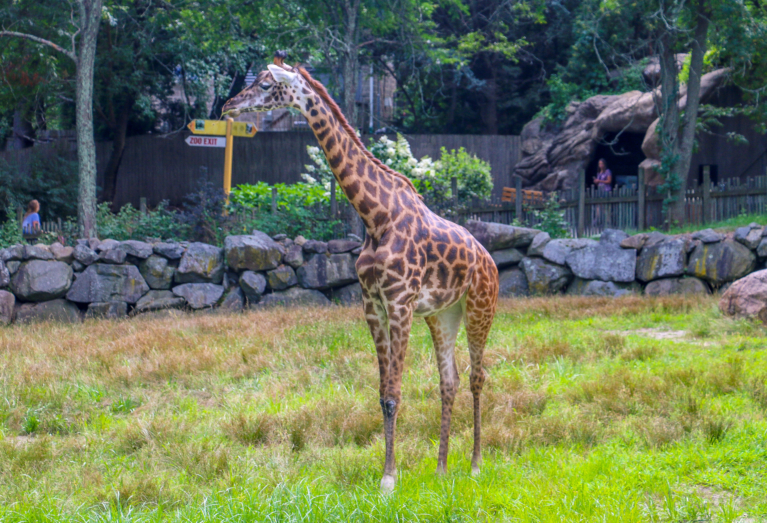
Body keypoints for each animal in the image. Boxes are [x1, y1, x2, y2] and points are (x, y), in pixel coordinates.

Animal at [222, 52, 499, 491]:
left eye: (266, 85)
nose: (227, 106)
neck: (375, 216)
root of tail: (490, 260)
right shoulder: (373, 306)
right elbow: (383, 394)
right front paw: (387, 475)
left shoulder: (400, 304)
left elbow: (396, 392)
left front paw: (389, 479)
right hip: (442, 315)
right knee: (449, 380)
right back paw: (441, 469)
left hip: (480, 308)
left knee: (477, 376)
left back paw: (474, 464)